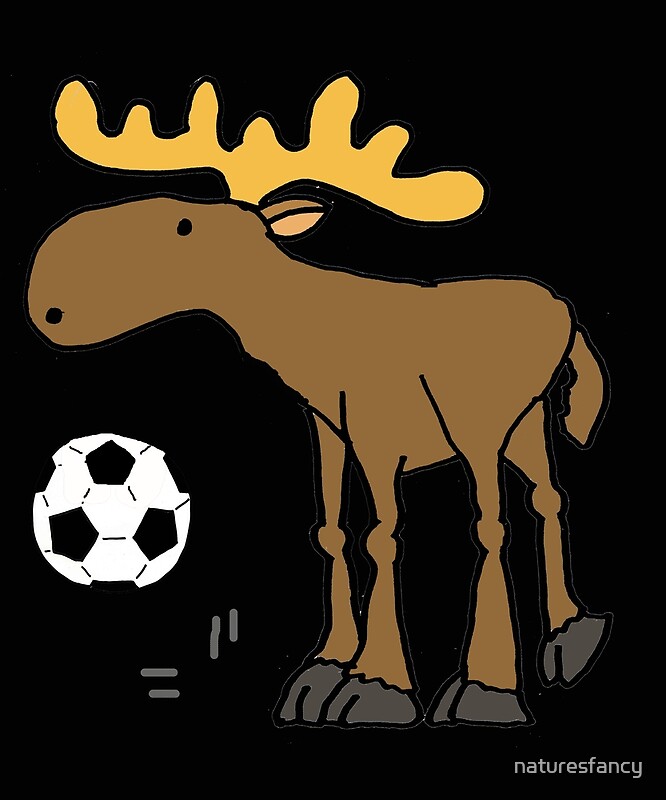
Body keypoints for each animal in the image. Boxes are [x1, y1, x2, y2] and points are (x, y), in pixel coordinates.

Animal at [26, 74, 611, 727]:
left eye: (184, 226)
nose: (50, 302)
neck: (310, 330)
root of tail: (564, 311)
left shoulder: (382, 434)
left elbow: (382, 537)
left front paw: (379, 685)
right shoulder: (329, 429)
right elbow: (332, 531)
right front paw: (325, 669)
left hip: (480, 425)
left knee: (493, 523)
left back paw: (488, 687)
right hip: (527, 426)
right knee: (547, 498)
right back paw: (567, 639)